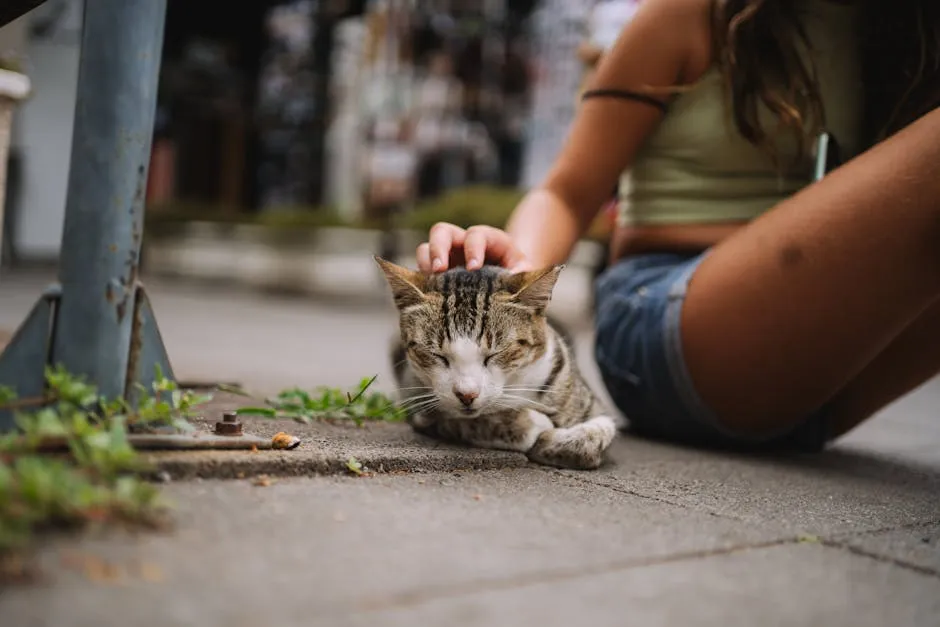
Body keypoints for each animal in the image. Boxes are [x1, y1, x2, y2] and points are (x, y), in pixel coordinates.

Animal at [374, 256, 624, 472]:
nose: (466, 395)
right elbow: (470, 420)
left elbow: (596, 434)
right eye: (437, 355)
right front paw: (531, 424)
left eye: (495, 353)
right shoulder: (421, 407)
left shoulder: (590, 402)